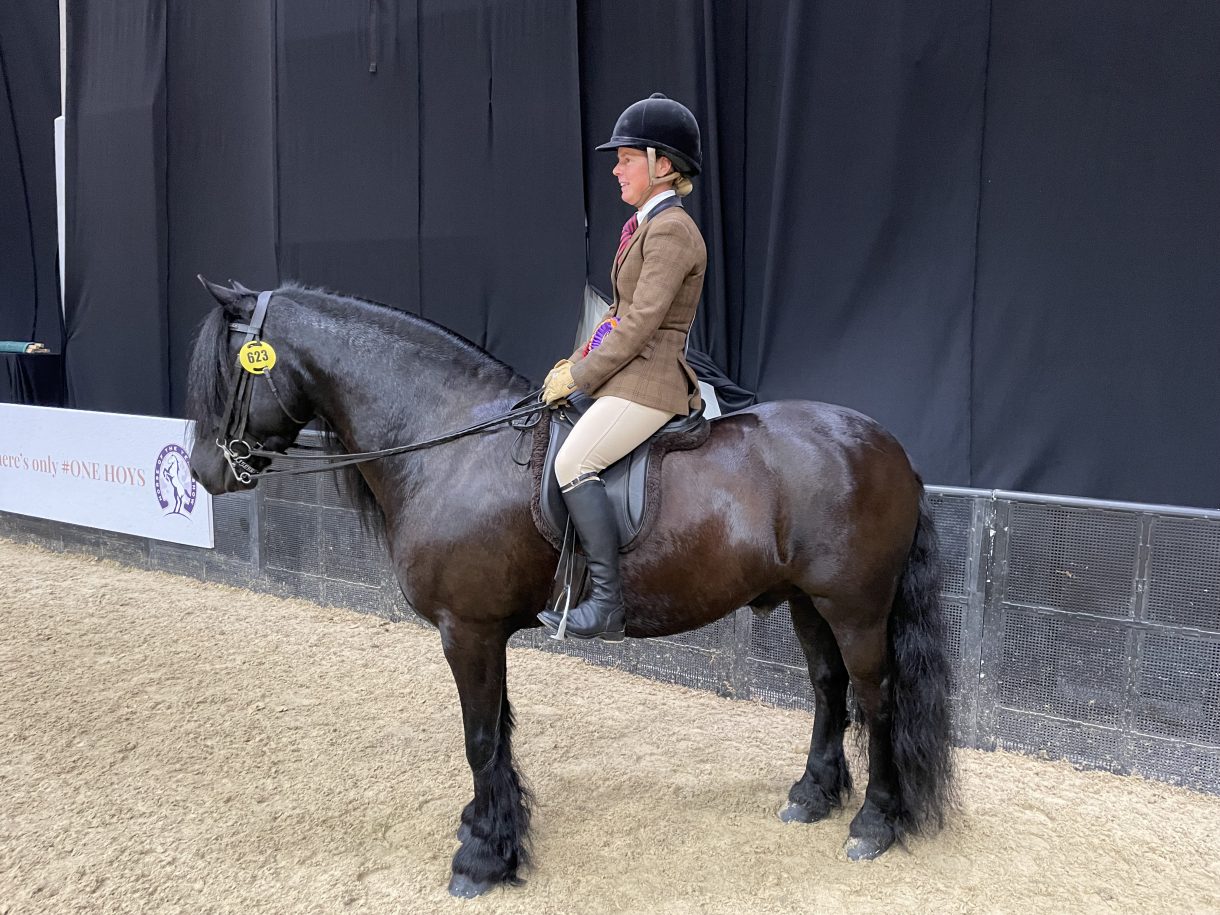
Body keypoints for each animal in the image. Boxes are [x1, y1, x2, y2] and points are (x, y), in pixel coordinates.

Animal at [186, 279, 955, 898]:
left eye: (228, 377)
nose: (202, 472)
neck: (452, 440)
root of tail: (889, 447)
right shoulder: (485, 631)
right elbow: (498, 732)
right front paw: (494, 829)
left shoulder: (466, 629)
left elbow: (479, 737)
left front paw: (481, 858)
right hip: (806, 601)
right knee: (829, 689)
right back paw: (812, 794)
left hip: (856, 606)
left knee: (876, 698)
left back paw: (874, 822)